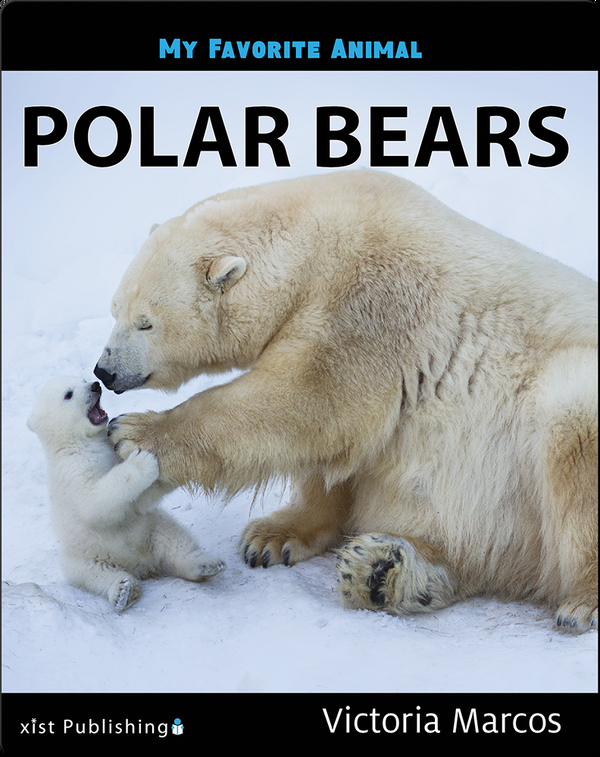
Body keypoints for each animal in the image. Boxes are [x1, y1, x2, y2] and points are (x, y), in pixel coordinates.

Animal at [27, 376, 226, 612]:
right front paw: (142, 459)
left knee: (175, 540)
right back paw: (123, 590)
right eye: (68, 394)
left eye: (82, 379)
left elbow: (138, 502)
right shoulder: (72, 470)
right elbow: (94, 502)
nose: (95, 385)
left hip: (152, 528)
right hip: (83, 555)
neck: (80, 442)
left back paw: (206, 564)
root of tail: (139, 564)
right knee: (93, 574)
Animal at [94, 170, 597, 632]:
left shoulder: (374, 300)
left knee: (571, 429)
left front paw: (134, 433)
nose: (104, 371)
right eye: (115, 308)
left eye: (145, 322)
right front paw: (272, 537)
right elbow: (337, 451)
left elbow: (305, 401)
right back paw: (383, 571)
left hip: (559, 402)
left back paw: (581, 603)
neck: (315, 243)